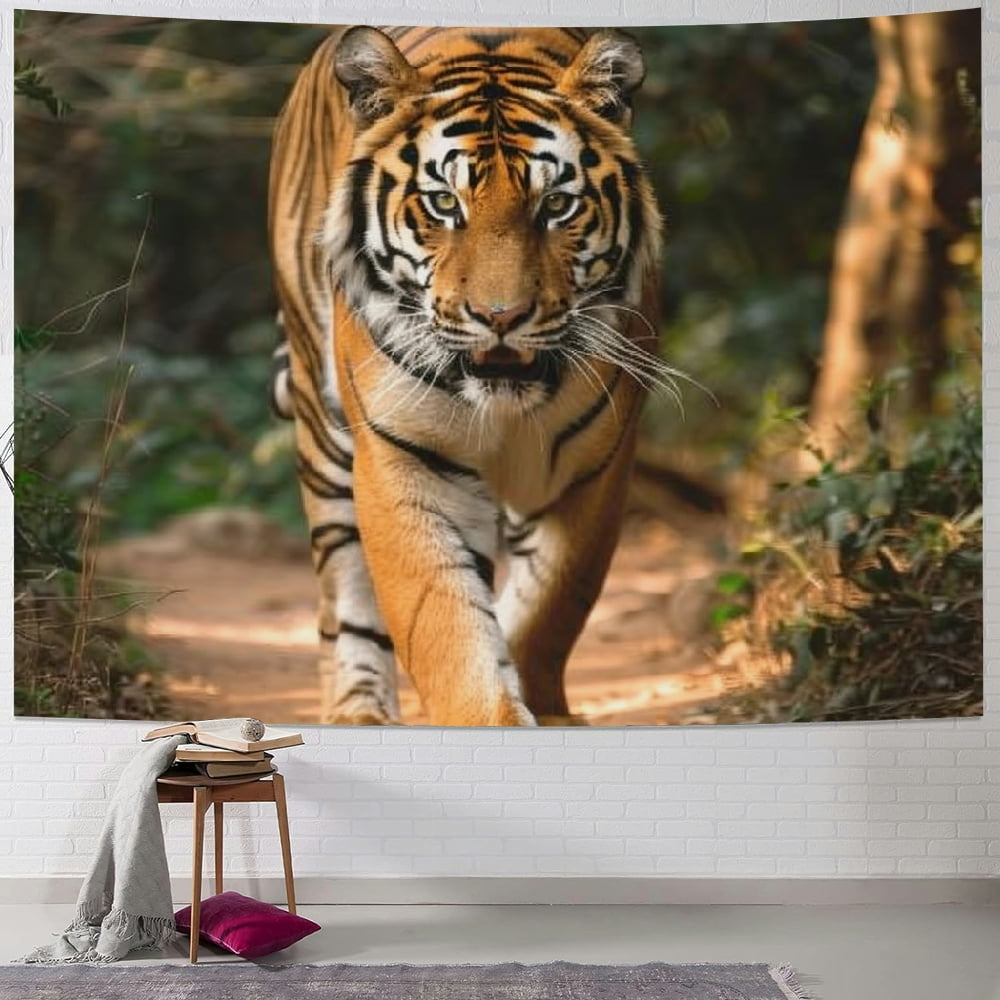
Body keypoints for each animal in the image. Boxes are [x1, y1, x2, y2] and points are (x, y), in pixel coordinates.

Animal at [268, 25, 670, 727]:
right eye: (442, 203)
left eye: (556, 205)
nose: (500, 317)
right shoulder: (405, 462)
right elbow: (445, 624)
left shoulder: (596, 468)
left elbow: (551, 605)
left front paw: (546, 709)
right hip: (323, 434)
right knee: (344, 590)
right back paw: (358, 709)